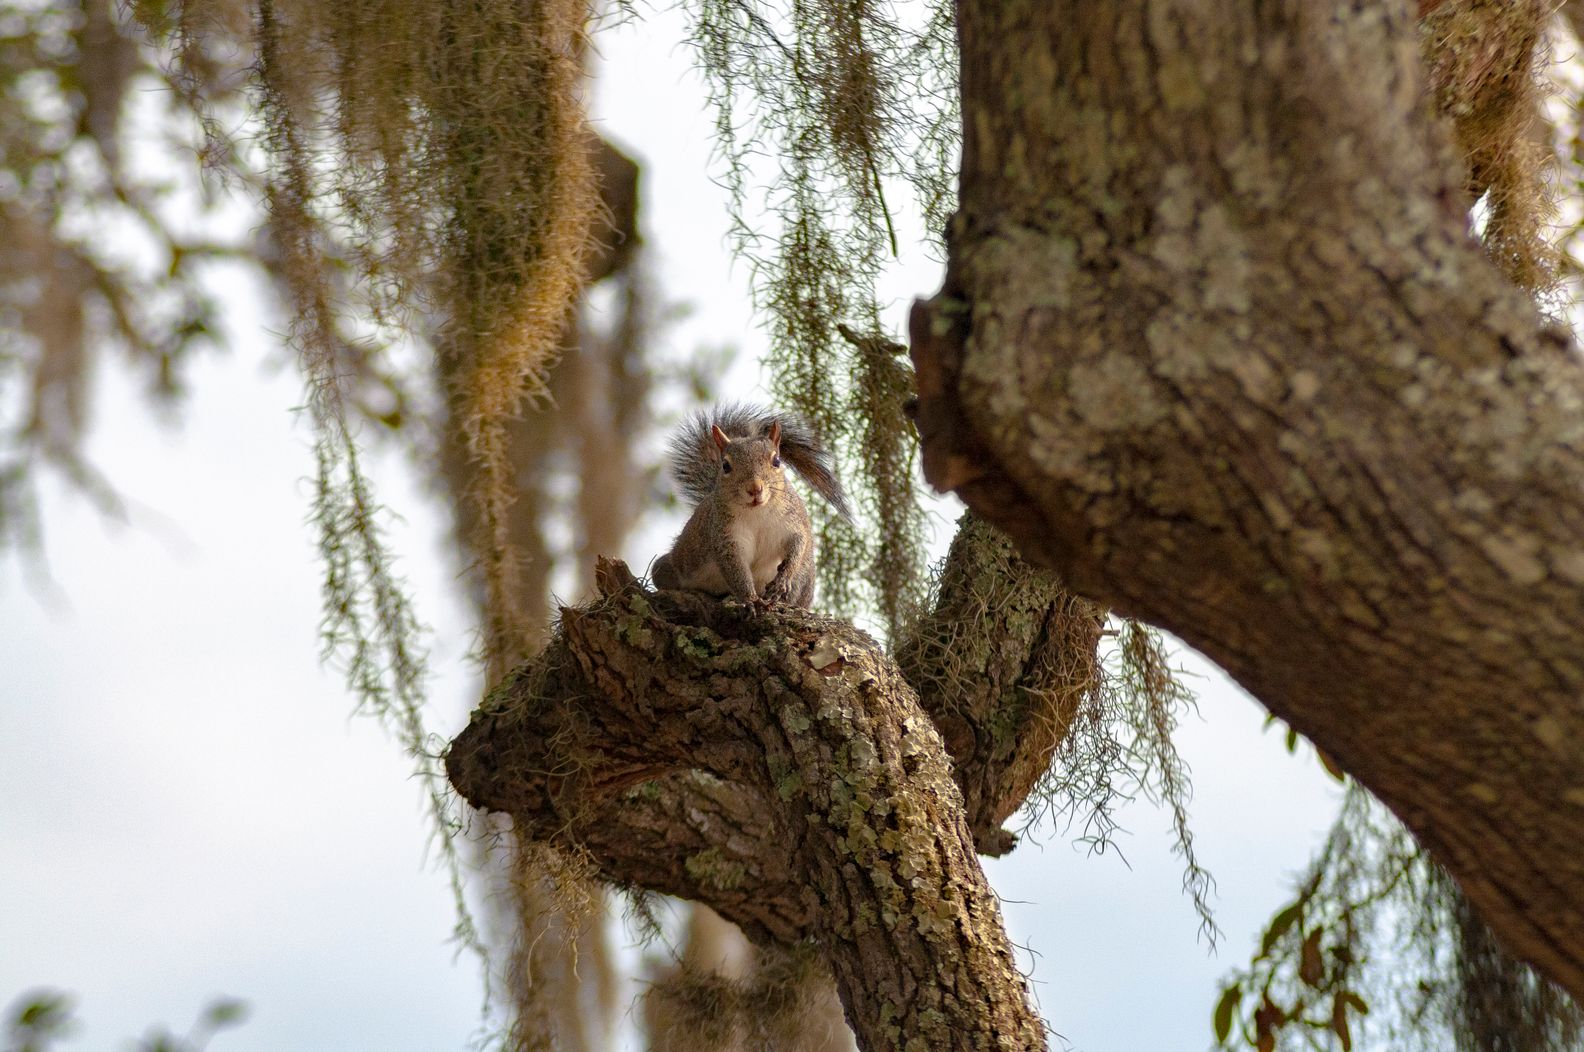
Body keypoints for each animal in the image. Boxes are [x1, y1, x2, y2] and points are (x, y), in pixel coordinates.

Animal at [651, 404, 852, 607]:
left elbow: (798, 544)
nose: (755, 488)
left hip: (804, 582)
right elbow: (736, 570)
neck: (757, 513)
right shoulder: (726, 537)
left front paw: (783, 578)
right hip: (673, 564)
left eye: (776, 461)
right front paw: (750, 599)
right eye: (725, 466)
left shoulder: (793, 521)